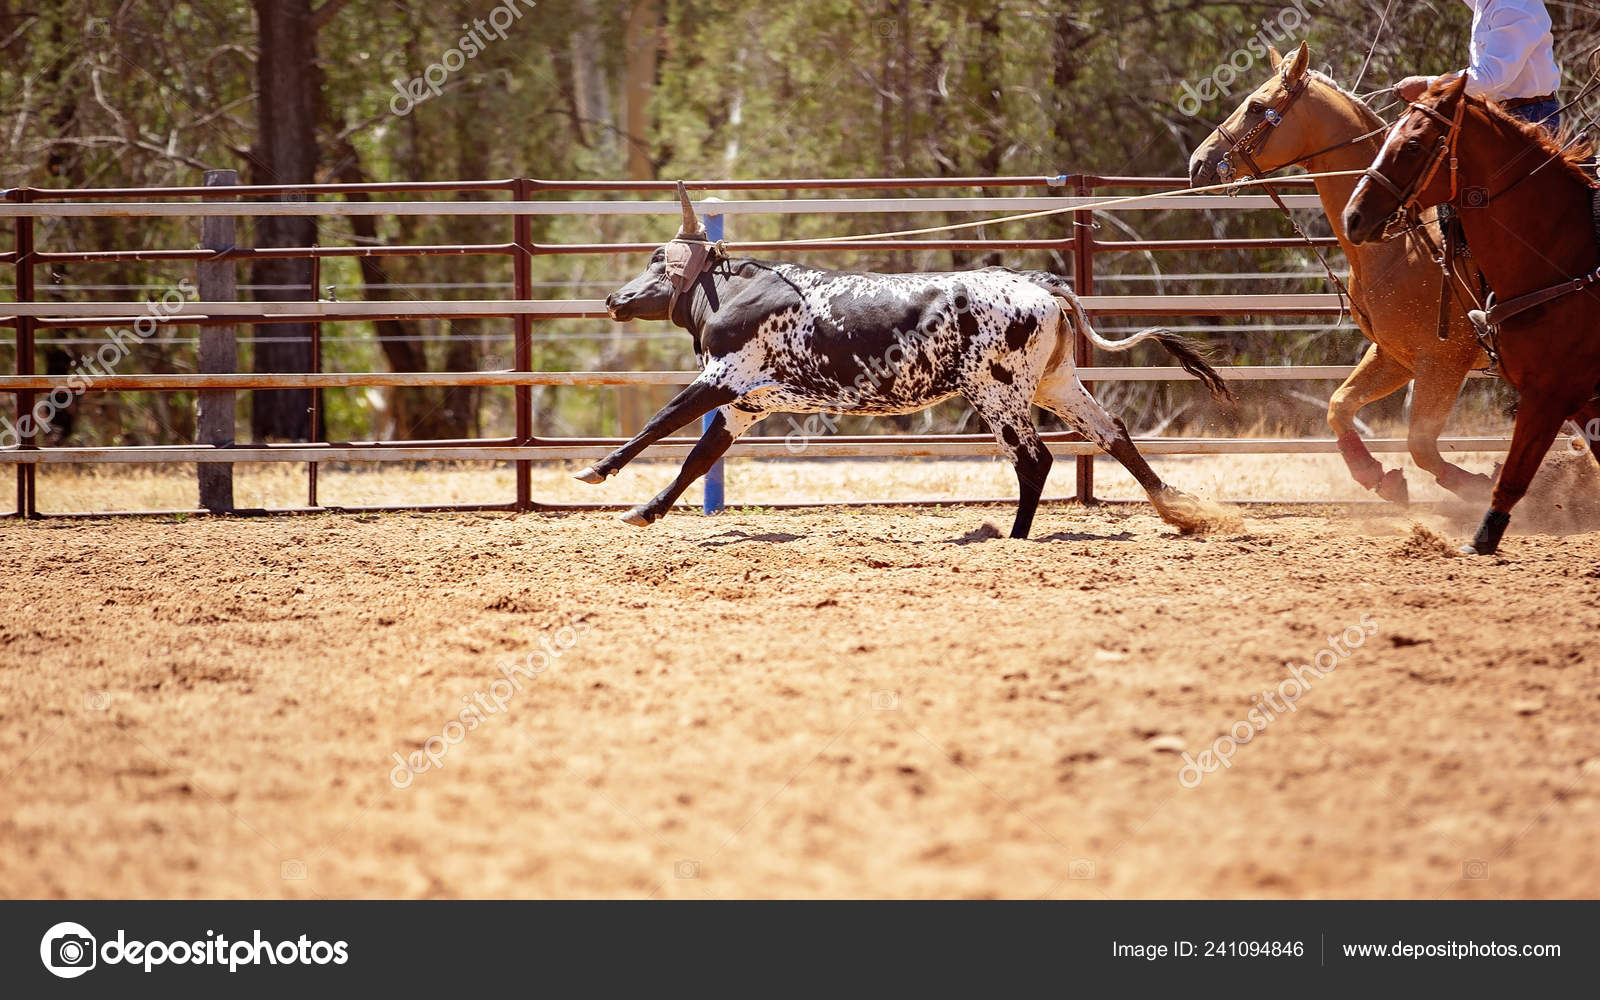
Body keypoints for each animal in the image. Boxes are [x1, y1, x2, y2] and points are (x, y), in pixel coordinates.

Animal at [579, 182, 1234, 539]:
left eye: (658, 260)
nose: (614, 299)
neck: (736, 293)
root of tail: (1036, 285)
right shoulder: (746, 405)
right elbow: (697, 459)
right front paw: (645, 510)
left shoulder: (722, 377)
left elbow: (660, 422)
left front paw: (598, 470)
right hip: (1056, 385)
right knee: (1113, 433)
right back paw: (1178, 509)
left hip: (995, 393)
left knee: (1035, 459)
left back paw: (1017, 537)